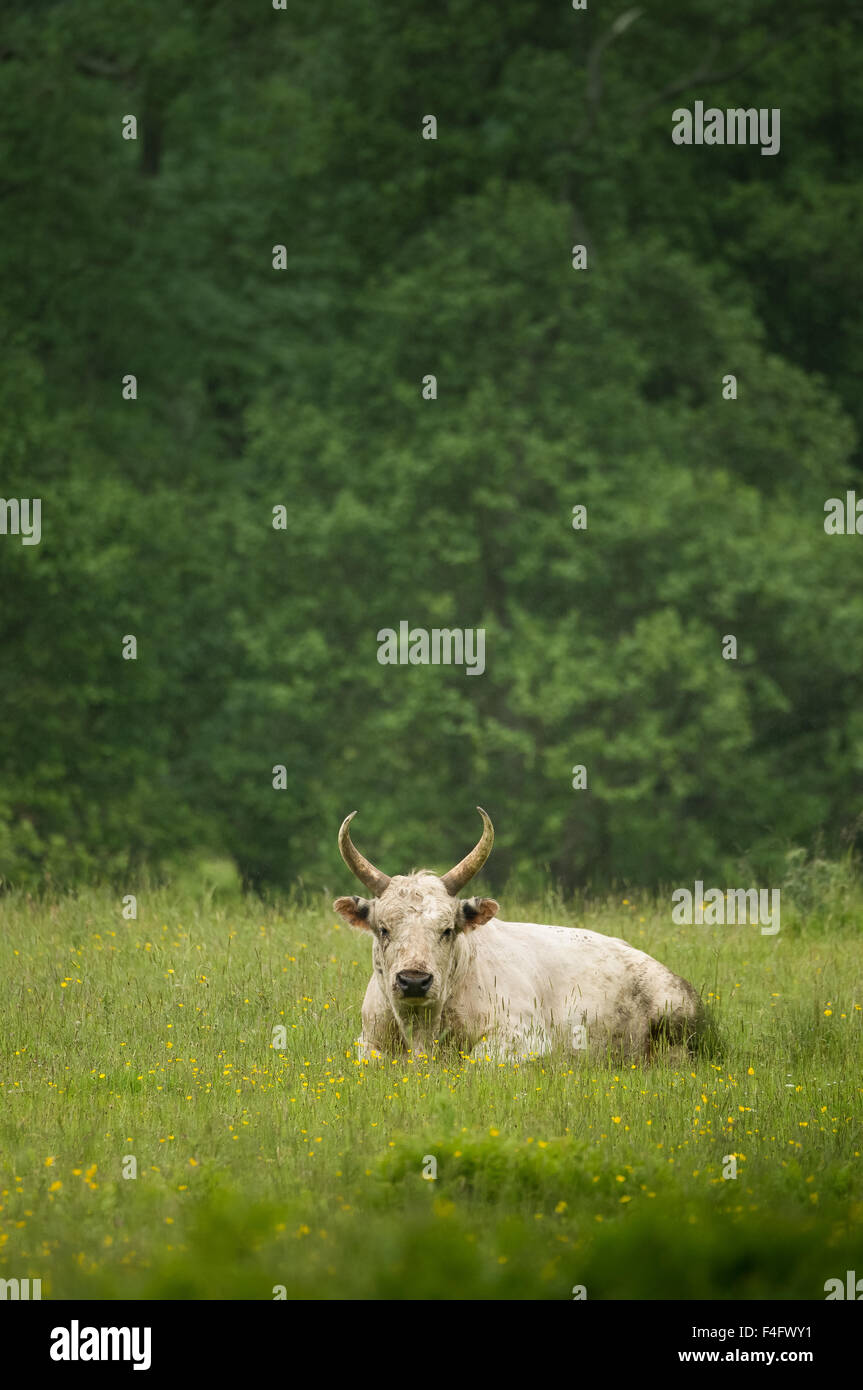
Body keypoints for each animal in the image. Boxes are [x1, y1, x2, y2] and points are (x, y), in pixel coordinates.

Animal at [333, 807, 702, 1061]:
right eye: (383, 929)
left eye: (447, 929)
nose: (413, 981)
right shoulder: (367, 1043)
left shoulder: (524, 1037)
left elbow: (478, 1061)